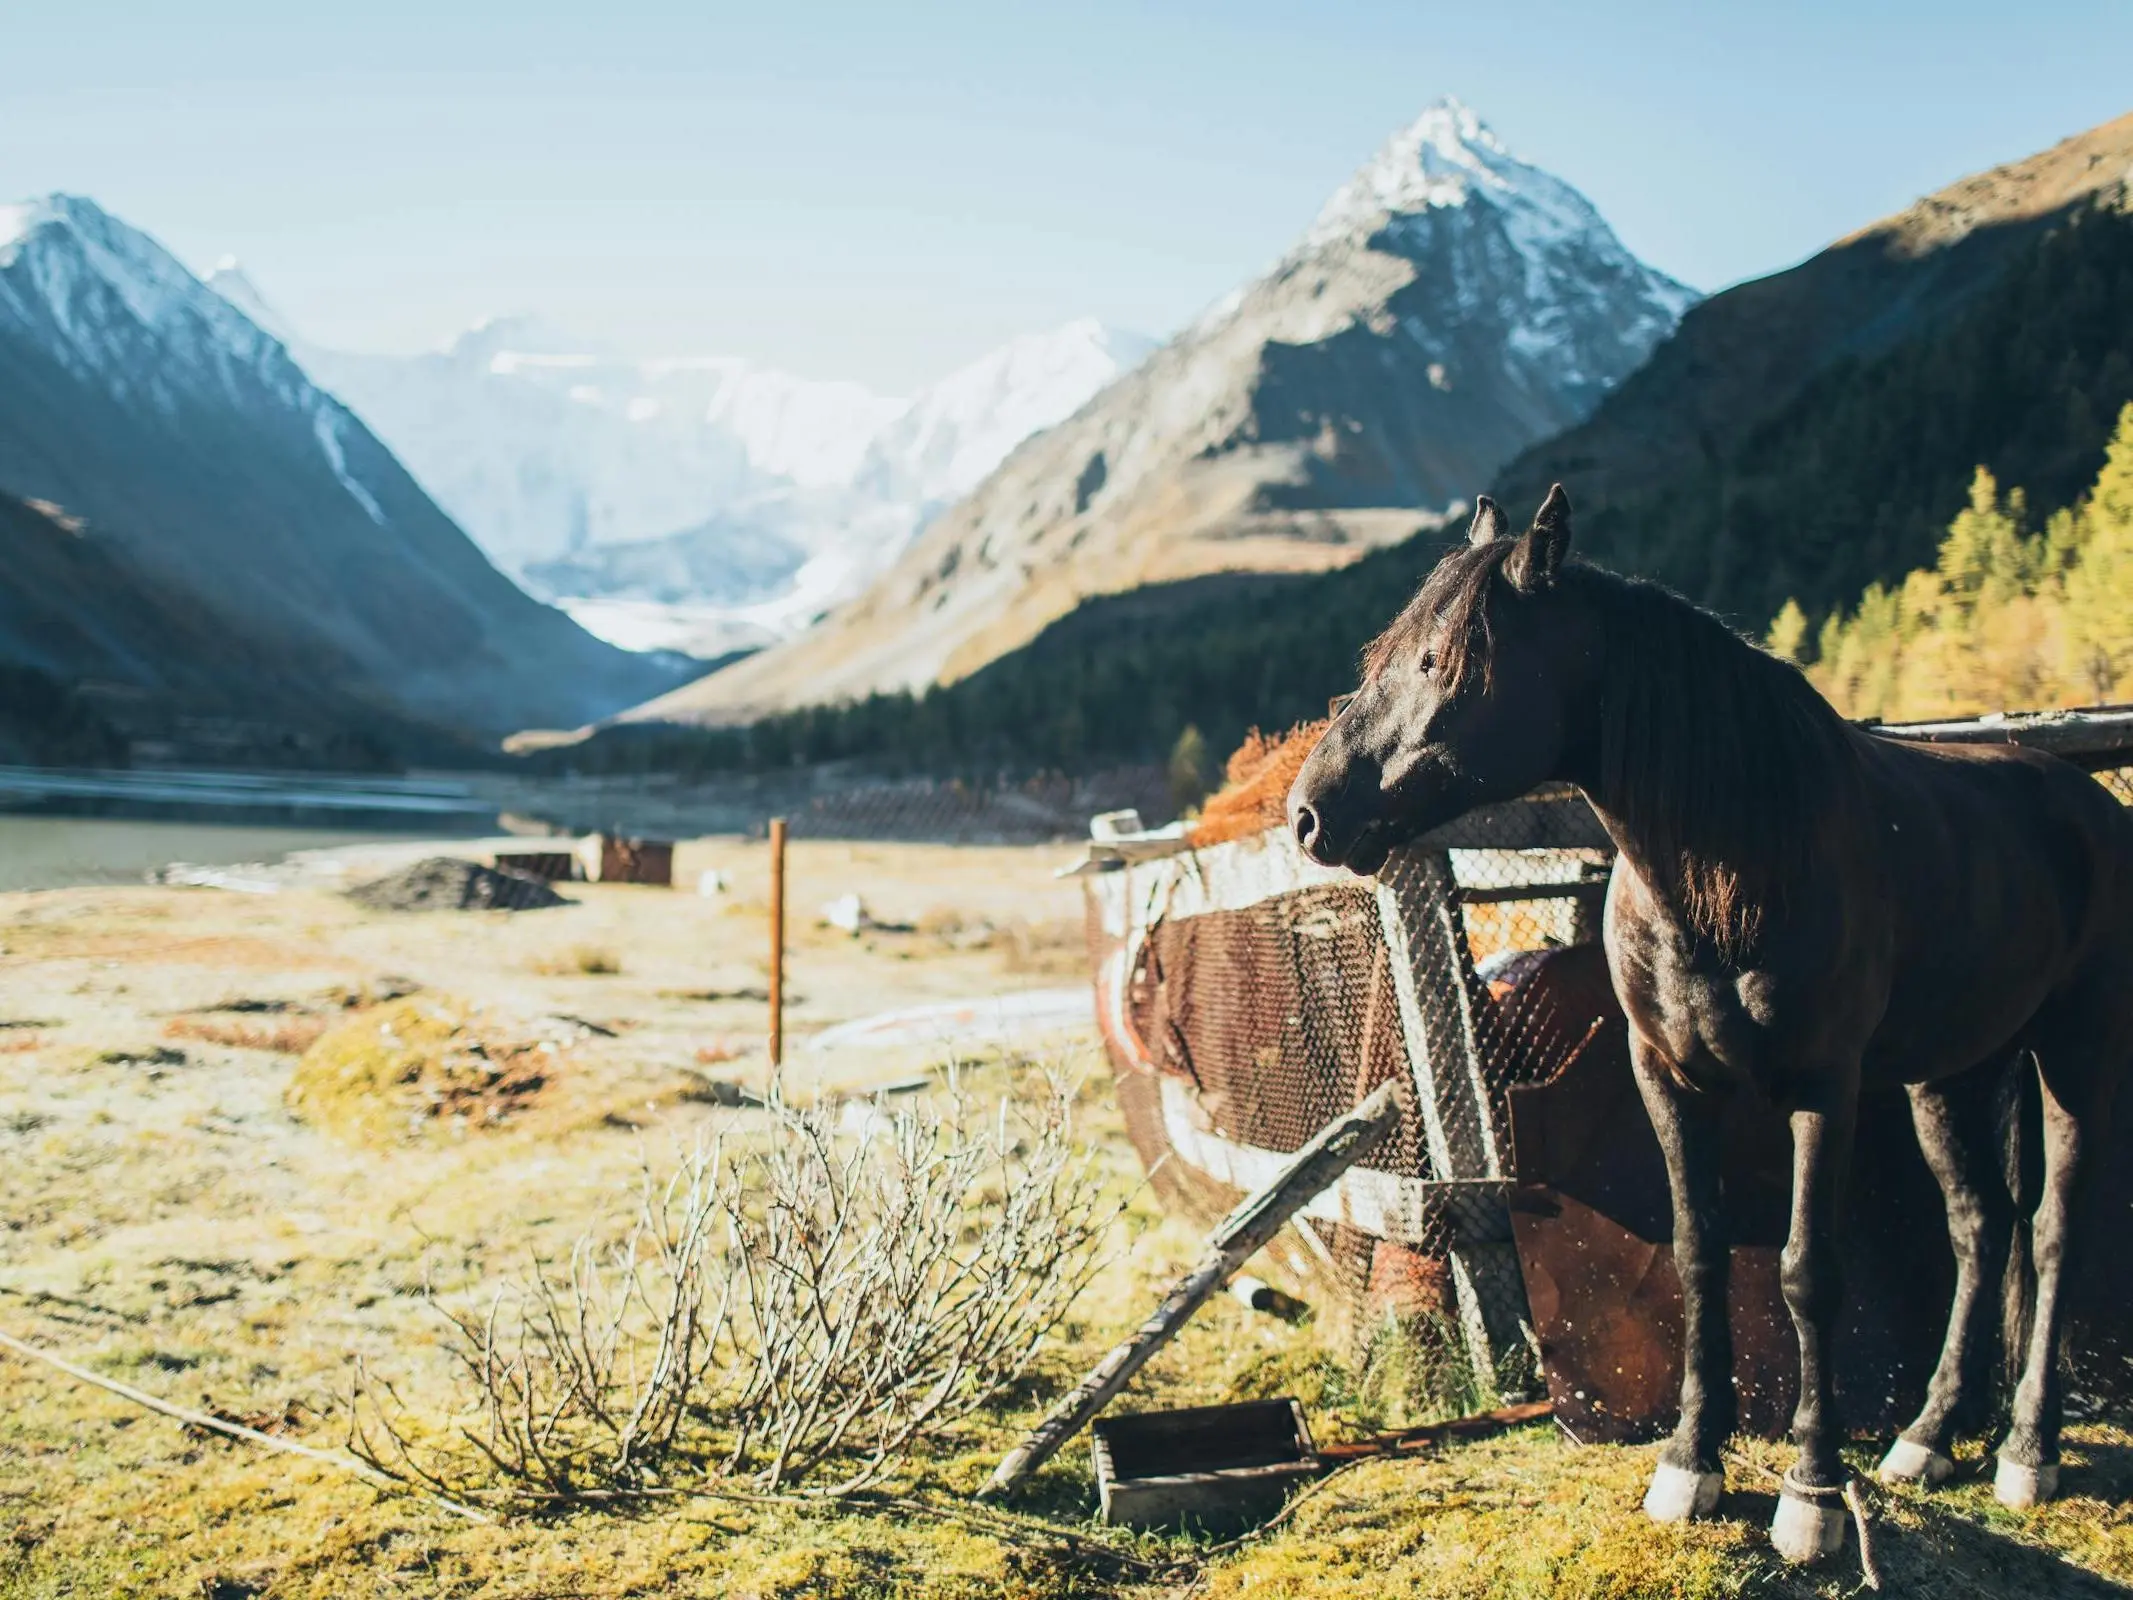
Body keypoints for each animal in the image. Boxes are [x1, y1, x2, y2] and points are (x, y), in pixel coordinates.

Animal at [1286, 485, 2133, 1563]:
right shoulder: (1671, 1078)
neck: (1736, 863)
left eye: (1440, 660)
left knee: (2053, 1229)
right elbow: (1698, 1254)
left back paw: (2029, 1449)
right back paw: (1929, 1437)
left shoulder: (1824, 1089)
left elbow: (1808, 1272)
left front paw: (1812, 1491)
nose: (1308, 815)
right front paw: (1692, 1462)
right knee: (1982, 1229)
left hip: (2077, 1053)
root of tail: (2087, 805)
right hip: (1951, 1074)